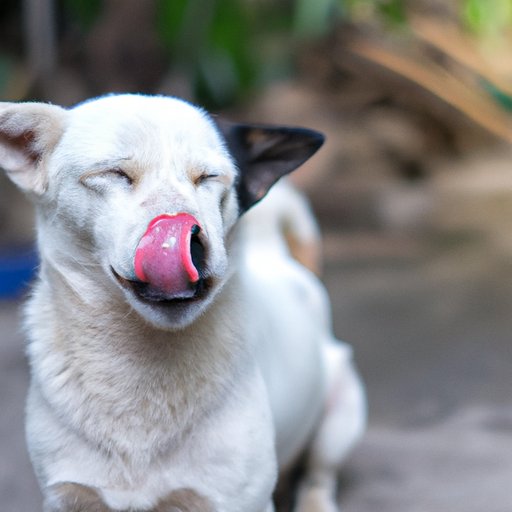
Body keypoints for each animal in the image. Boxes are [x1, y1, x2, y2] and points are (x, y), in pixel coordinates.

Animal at [0, 93, 364, 512]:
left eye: (208, 177)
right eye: (115, 174)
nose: (190, 240)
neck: (139, 366)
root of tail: (271, 251)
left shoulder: (238, 499)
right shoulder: (67, 495)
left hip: (342, 413)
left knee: (319, 476)